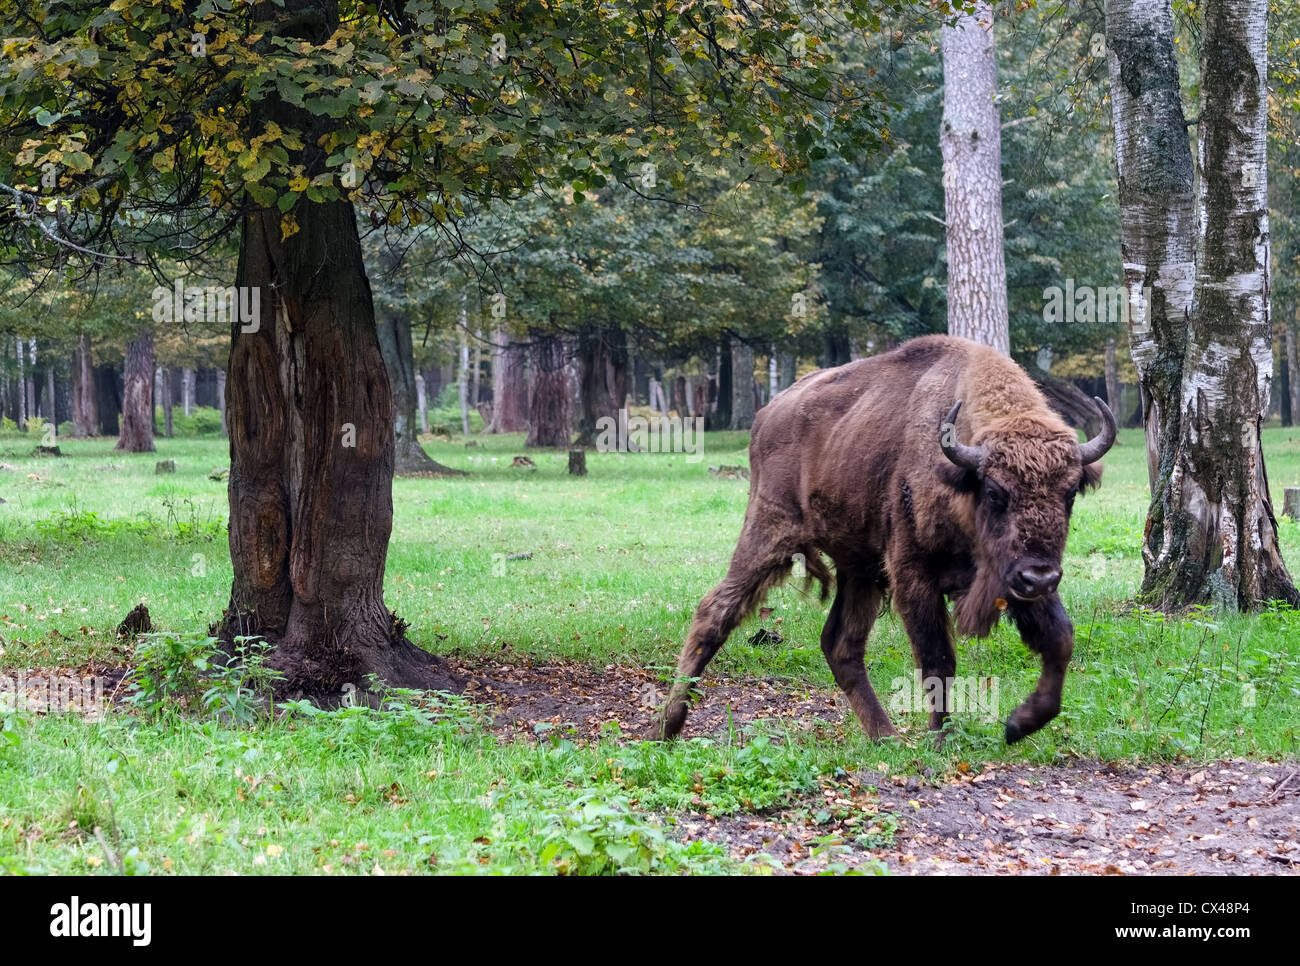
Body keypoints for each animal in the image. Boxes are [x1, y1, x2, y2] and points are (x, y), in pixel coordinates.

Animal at [650, 335, 1115, 744]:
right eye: (996, 492)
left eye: (1069, 493)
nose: (1040, 577)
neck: (960, 474)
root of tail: (767, 415)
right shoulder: (914, 575)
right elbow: (938, 660)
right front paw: (942, 740)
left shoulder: (1011, 578)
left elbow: (1061, 638)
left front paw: (1020, 724)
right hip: (768, 533)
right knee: (715, 611)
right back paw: (666, 727)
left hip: (860, 568)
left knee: (840, 645)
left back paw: (885, 736)